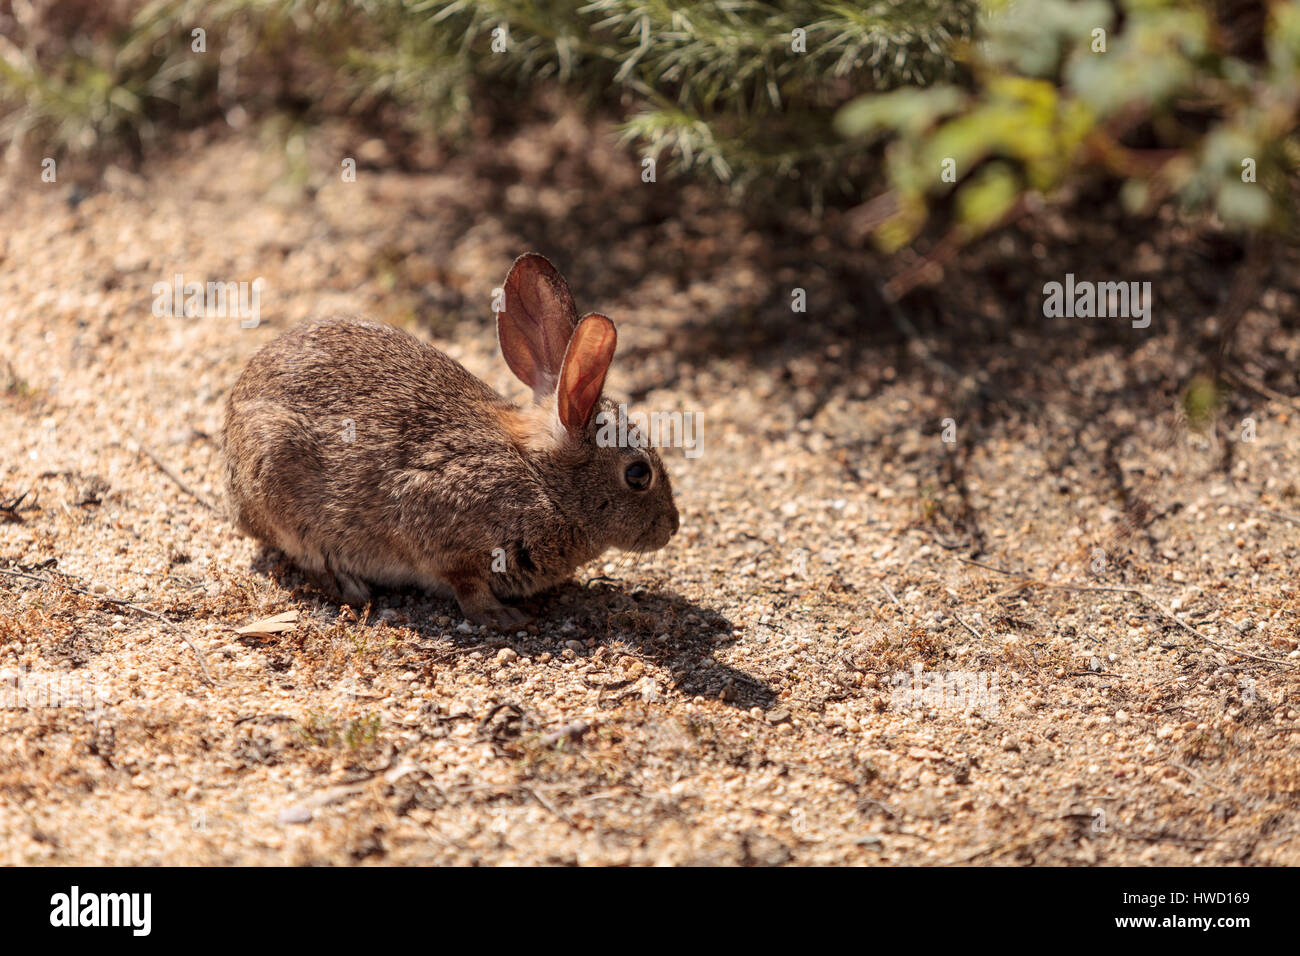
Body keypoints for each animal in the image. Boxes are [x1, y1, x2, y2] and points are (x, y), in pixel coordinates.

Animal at [221, 253, 680, 629]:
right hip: (274, 472)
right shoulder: (443, 531)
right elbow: (466, 586)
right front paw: (503, 617)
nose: (673, 526)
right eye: (638, 474)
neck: (541, 479)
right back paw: (349, 585)